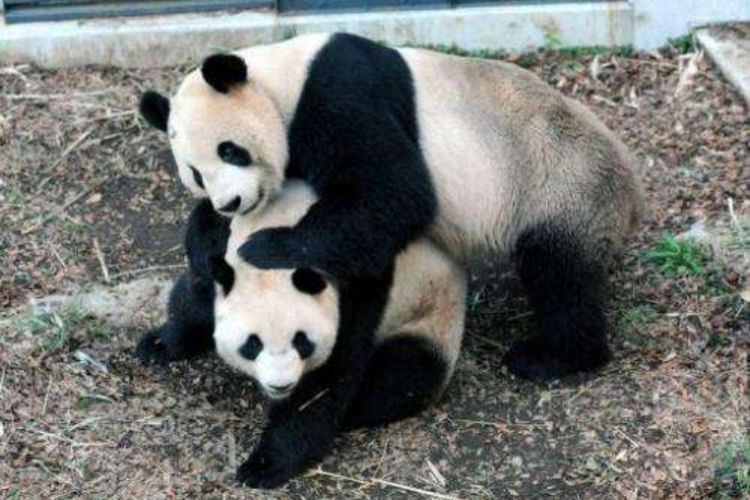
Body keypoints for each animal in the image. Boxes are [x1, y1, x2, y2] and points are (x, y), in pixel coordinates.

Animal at [138, 180, 466, 488]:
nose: (280, 385)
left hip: (428, 321)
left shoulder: (357, 290)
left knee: (403, 377)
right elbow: (197, 294)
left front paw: (263, 465)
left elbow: (325, 381)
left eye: (301, 341)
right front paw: (159, 344)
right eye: (252, 345)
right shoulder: (221, 255)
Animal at [139, 32, 644, 381]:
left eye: (230, 151)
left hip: (561, 186)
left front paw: (267, 246)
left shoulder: (340, 94)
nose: (231, 201)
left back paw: (551, 357)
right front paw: (176, 317)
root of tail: (632, 192)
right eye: (195, 173)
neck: (282, 80)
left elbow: (394, 191)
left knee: (559, 276)